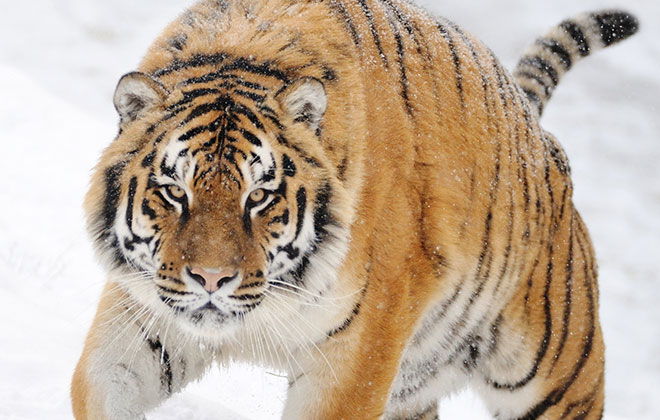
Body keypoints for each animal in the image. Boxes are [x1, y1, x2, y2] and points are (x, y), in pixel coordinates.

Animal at [70, 1, 639, 419]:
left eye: (258, 196)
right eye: (175, 192)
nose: (211, 280)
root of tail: (538, 135)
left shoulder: (357, 356)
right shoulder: (144, 316)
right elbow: (97, 384)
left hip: (559, 370)